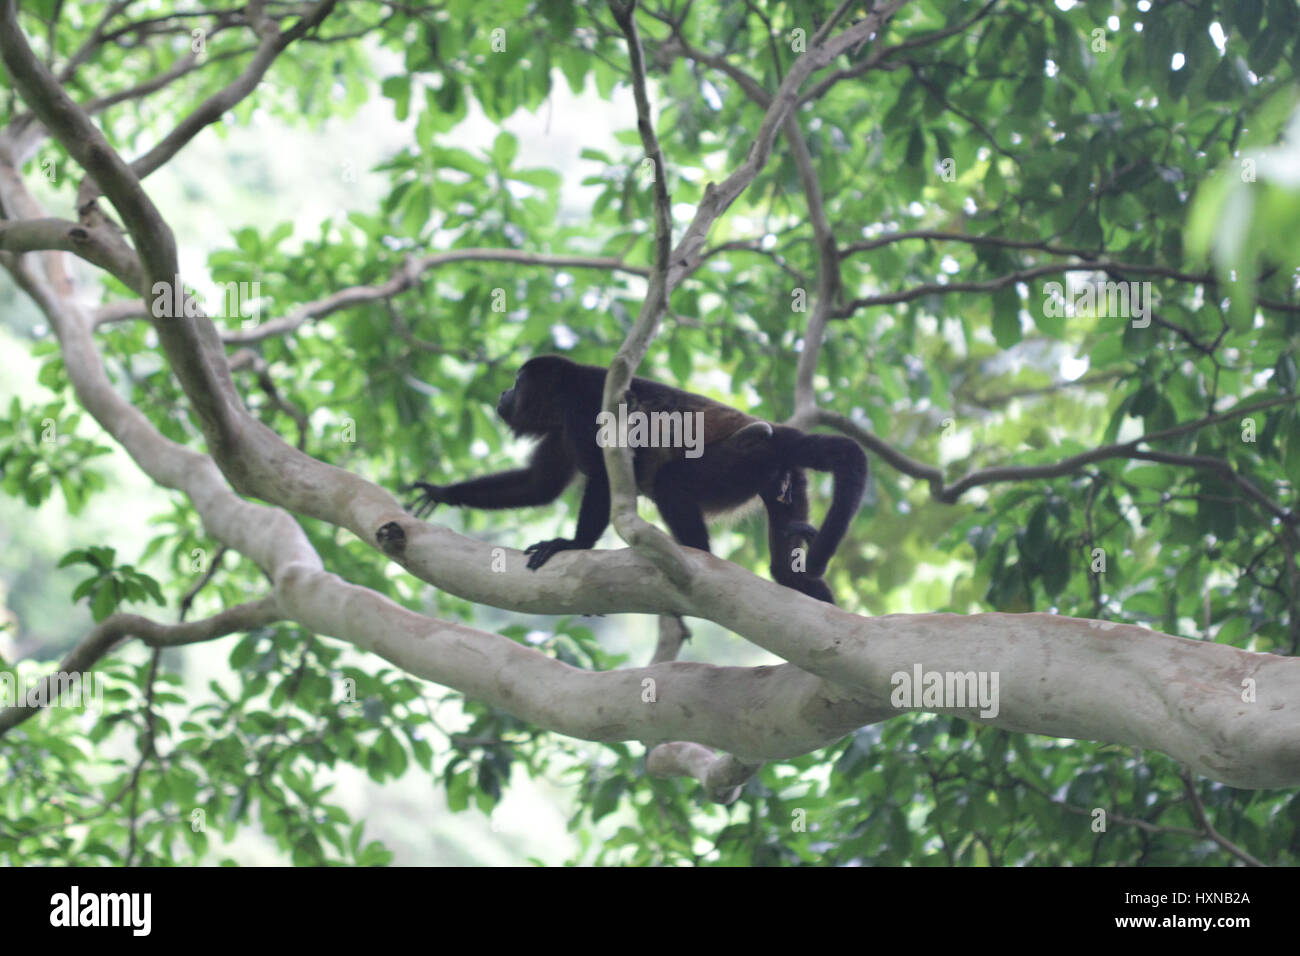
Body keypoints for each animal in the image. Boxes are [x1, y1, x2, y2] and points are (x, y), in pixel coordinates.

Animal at [407, 355, 867, 603]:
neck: (562, 398)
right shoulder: (561, 430)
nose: (503, 394)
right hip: (785, 480)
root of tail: (782, 436)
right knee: (783, 561)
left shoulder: (583, 407)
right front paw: (442, 492)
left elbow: (601, 478)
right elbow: (540, 485)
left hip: (739, 460)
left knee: (669, 483)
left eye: (517, 382)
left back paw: (697, 556)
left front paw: (572, 544)